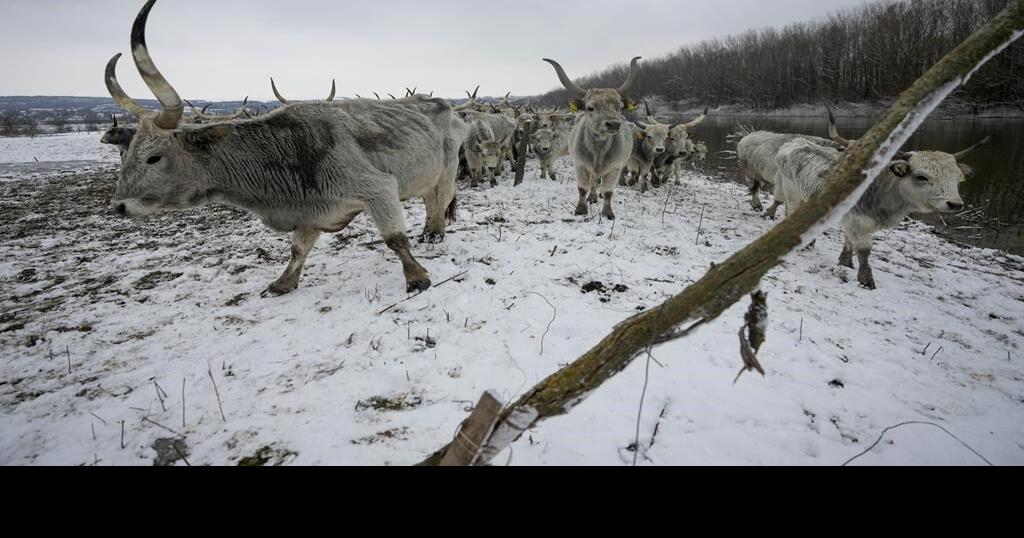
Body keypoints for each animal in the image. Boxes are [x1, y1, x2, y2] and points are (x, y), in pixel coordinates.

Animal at [106, 0, 469, 296]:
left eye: (154, 157)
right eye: (127, 153)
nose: (119, 206)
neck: (288, 151)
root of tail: (445, 105)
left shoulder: (379, 189)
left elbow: (395, 239)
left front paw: (416, 277)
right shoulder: (310, 212)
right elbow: (298, 250)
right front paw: (283, 283)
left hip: (448, 169)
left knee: (441, 198)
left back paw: (435, 232)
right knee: (430, 198)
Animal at [544, 56, 641, 220]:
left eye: (620, 107)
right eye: (590, 107)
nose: (613, 124)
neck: (598, 150)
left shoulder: (615, 168)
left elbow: (608, 192)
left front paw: (608, 212)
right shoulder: (580, 165)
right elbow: (583, 188)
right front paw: (581, 209)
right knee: (593, 181)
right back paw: (593, 196)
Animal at [773, 114, 988, 289]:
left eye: (957, 178)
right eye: (921, 177)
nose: (955, 204)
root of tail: (796, 141)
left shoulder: (853, 221)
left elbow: (849, 242)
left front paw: (845, 262)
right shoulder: (856, 221)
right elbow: (864, 249)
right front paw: (866, 279)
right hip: (792, 193)